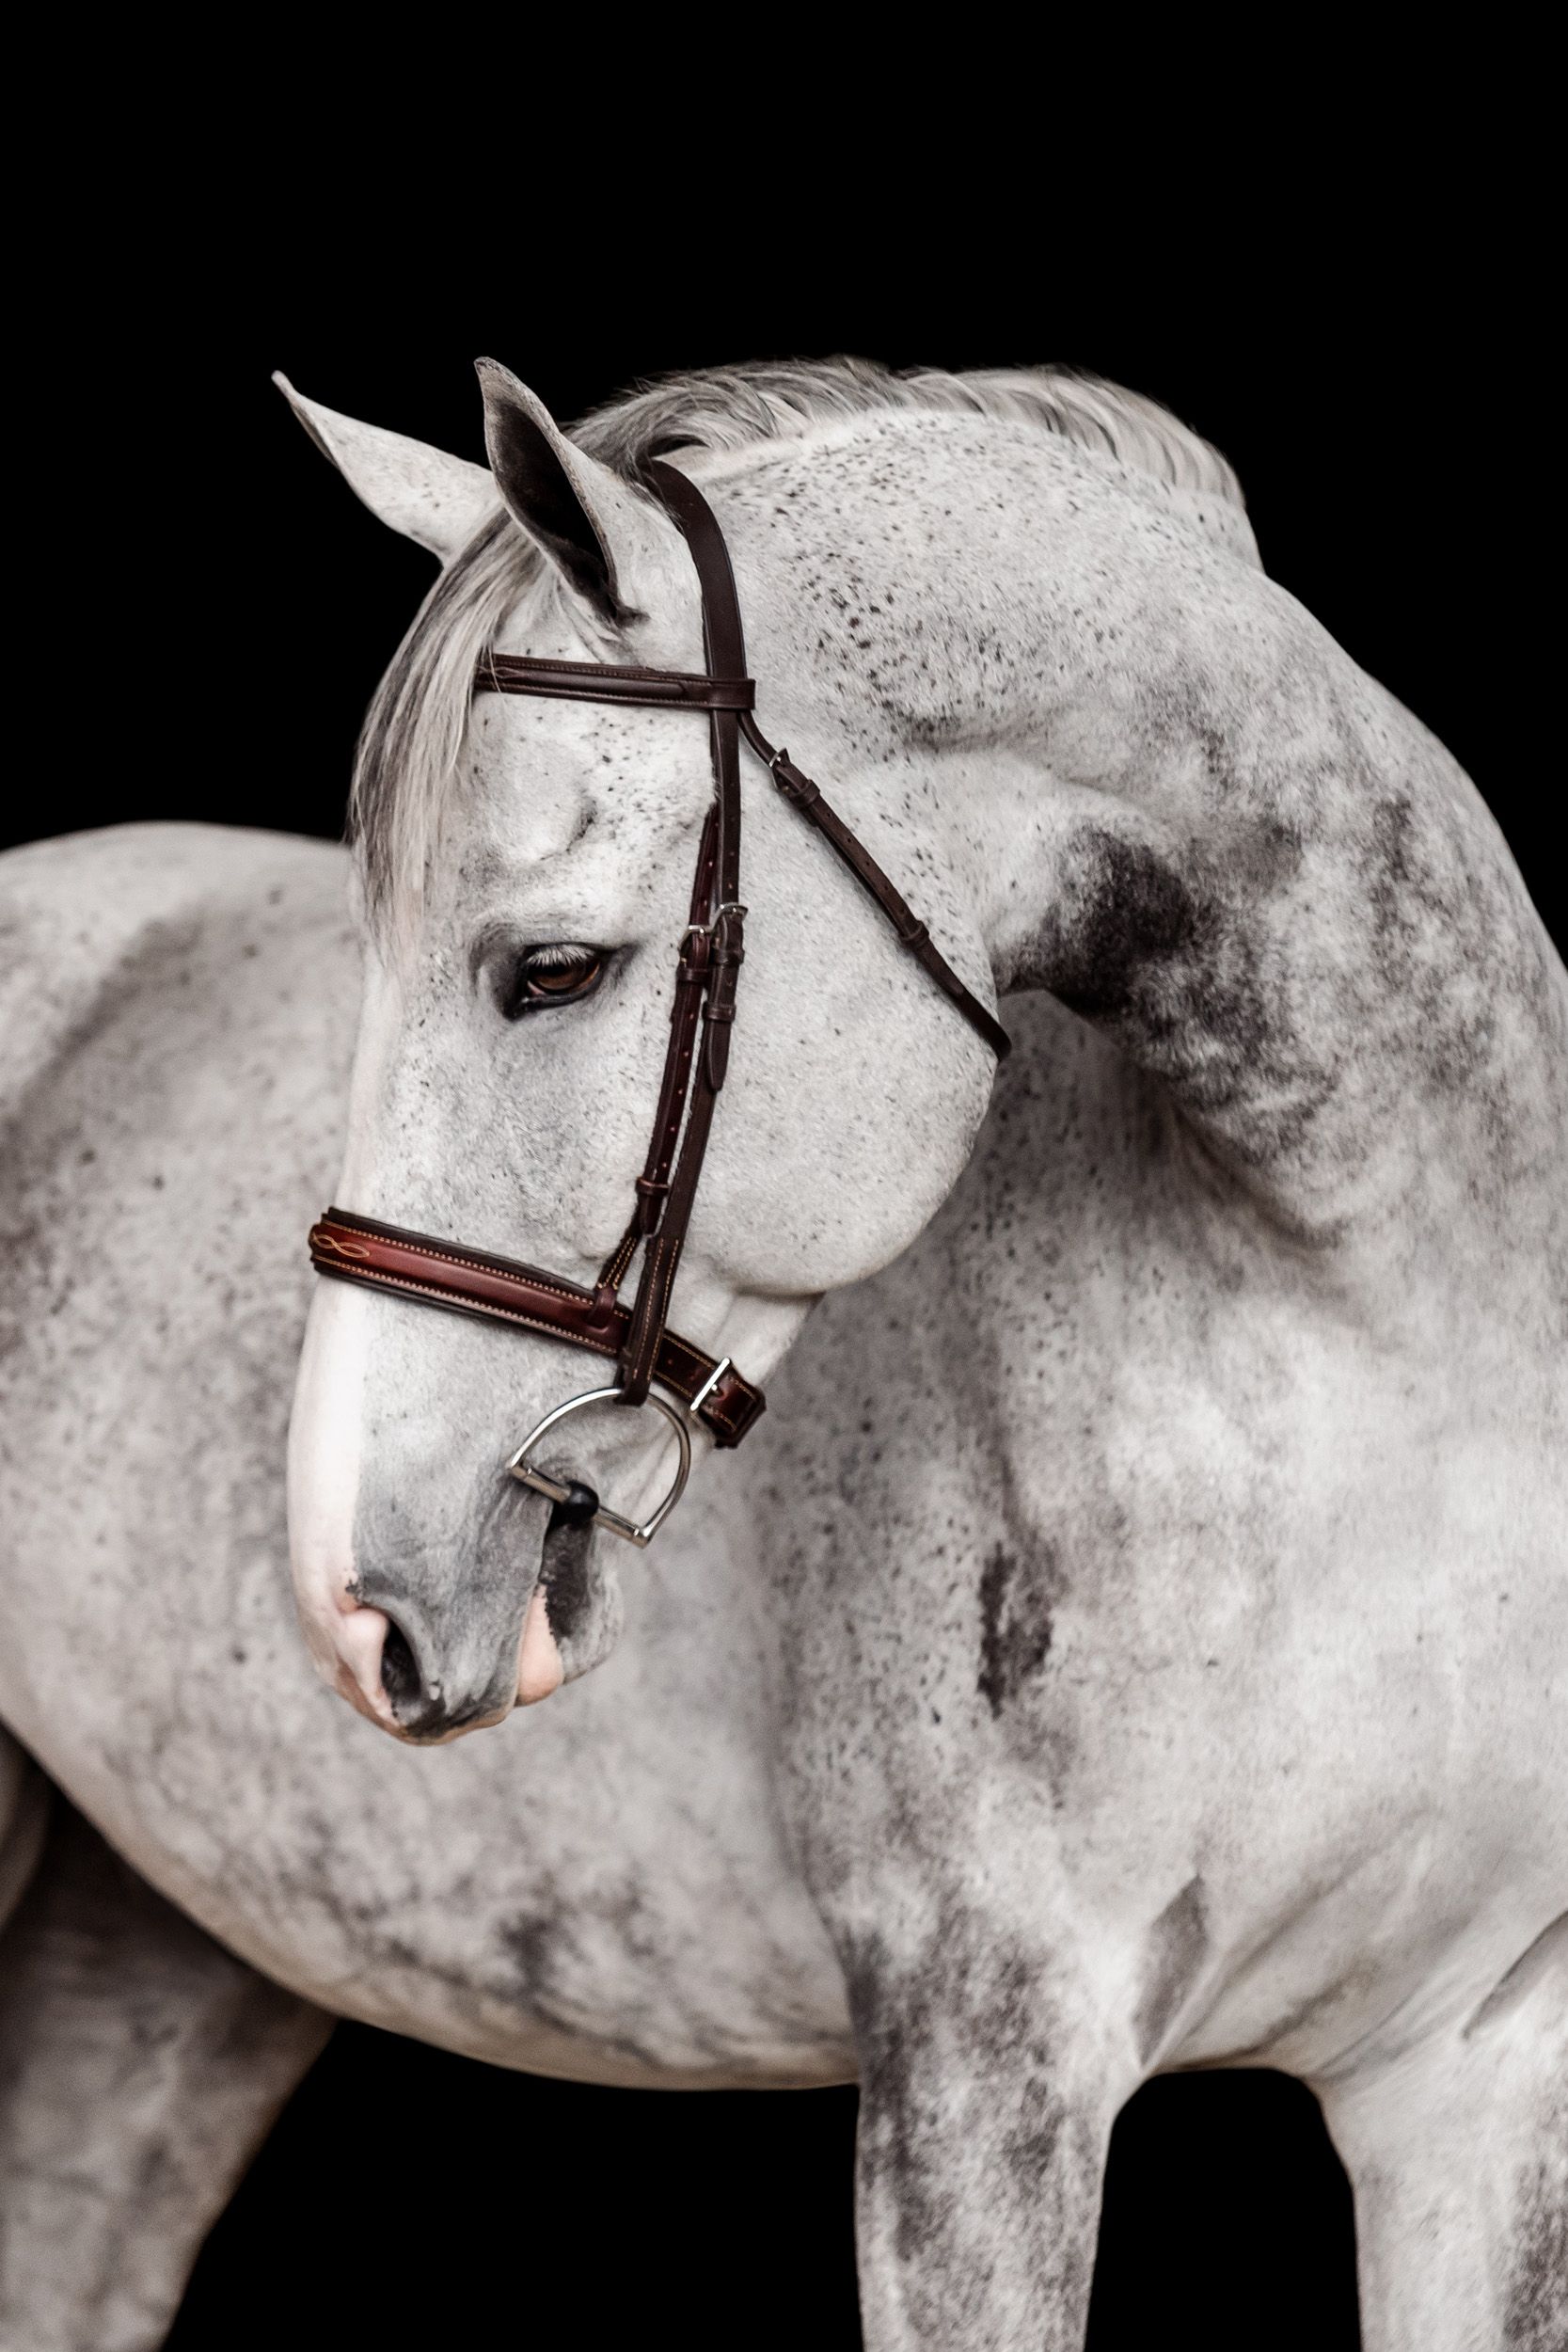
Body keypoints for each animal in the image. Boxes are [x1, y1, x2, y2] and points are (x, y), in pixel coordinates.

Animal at [1, 356, 1562, 2351]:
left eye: (553, 971)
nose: (355, 1592)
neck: (1382, 1376)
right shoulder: (986, 2063)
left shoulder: (1476, 2078)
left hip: (171, 1951)